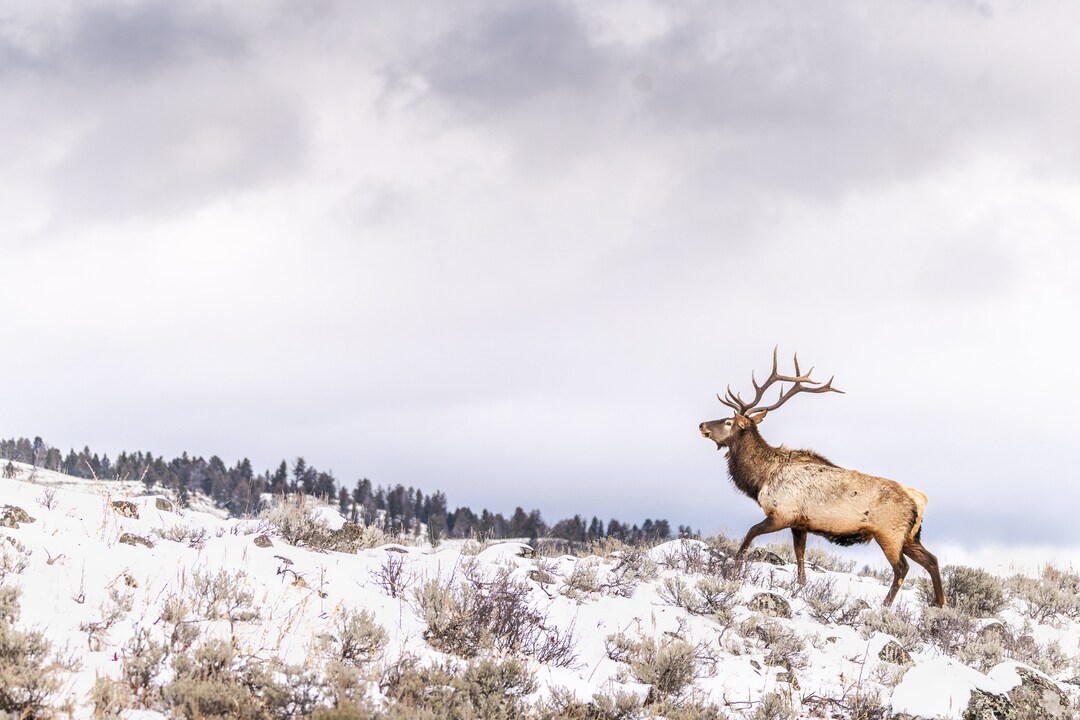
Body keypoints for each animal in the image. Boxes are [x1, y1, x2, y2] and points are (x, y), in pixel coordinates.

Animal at [699, 348, 945, 607]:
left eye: (728, 422)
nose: (702, 425)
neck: (761, 479)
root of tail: (920, 500)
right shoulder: (800, 523)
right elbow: (799, 556)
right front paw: (801, 586)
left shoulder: (782, 514)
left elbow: (750, 534)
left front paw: (733, 570)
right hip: (911, 536)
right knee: (932, 560)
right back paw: (941, 605)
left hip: (889, 533)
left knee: (902, 568)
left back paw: (885, 606)